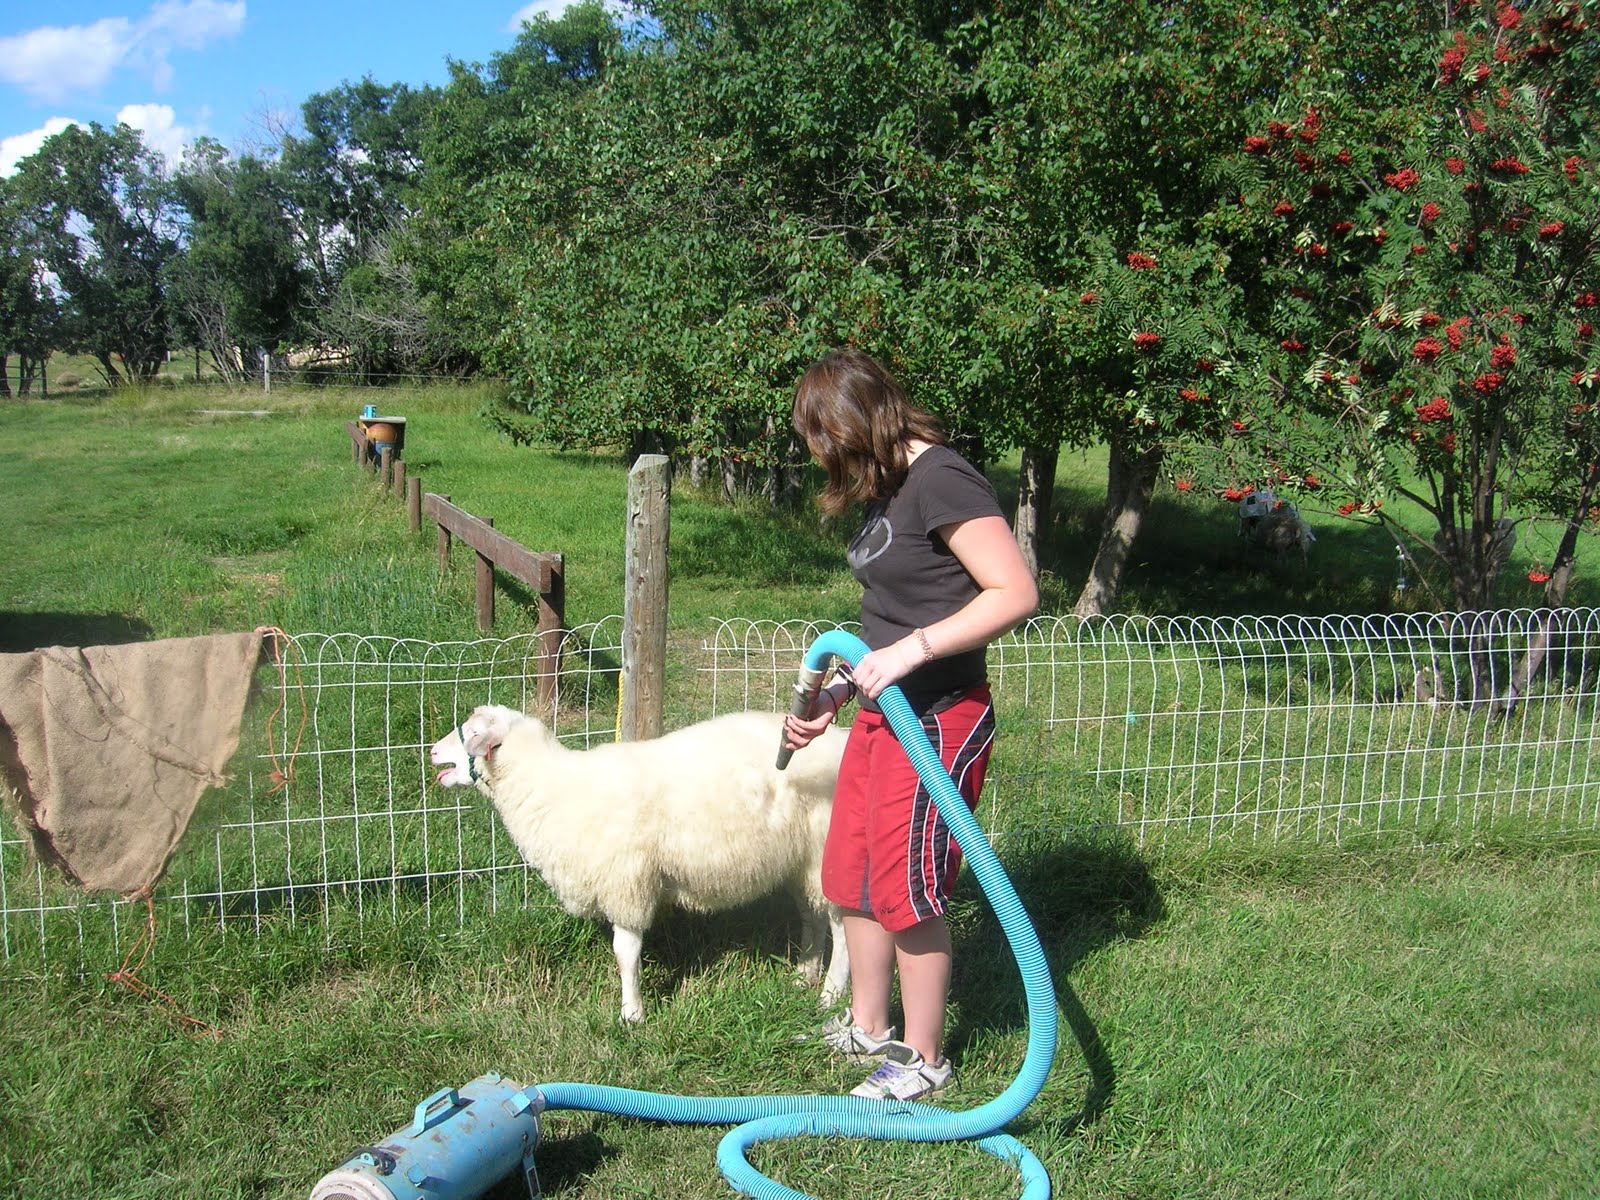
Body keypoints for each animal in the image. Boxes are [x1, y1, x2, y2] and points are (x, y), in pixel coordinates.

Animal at [430, 704, 849, 1023]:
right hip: (799, 860)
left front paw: (632, 1014)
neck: (553, 787)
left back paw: (830, 993)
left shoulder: (626, 882)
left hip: (828, 854)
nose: (432, 751)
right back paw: (805, 974)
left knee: (843, 930)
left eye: (471, 732)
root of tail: (841, 740)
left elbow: (625, 953)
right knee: (813, 916)